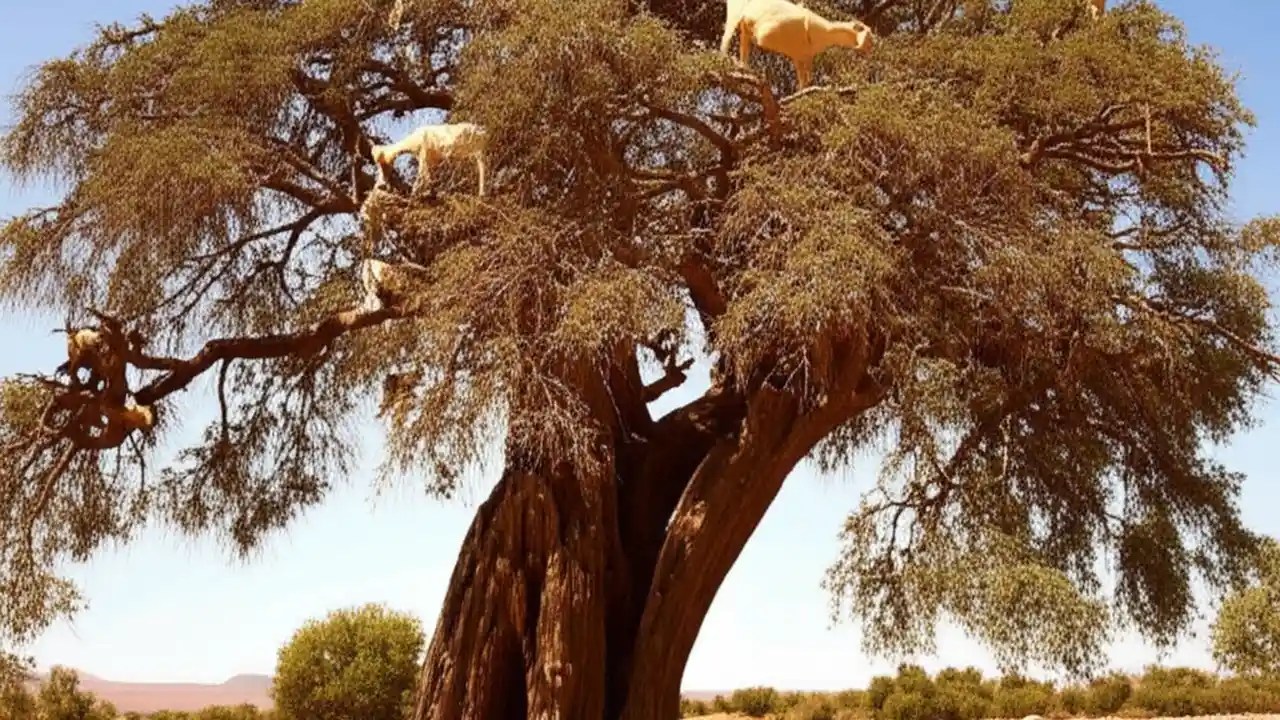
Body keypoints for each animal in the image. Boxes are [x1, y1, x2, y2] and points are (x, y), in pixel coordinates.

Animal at [721, 0, 873, 90]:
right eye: (869, 38)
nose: (869, 50)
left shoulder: (801, 56)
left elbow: (804, 81)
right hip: (736, 16)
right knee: (726, 40)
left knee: (743, 45)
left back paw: (743, 69)